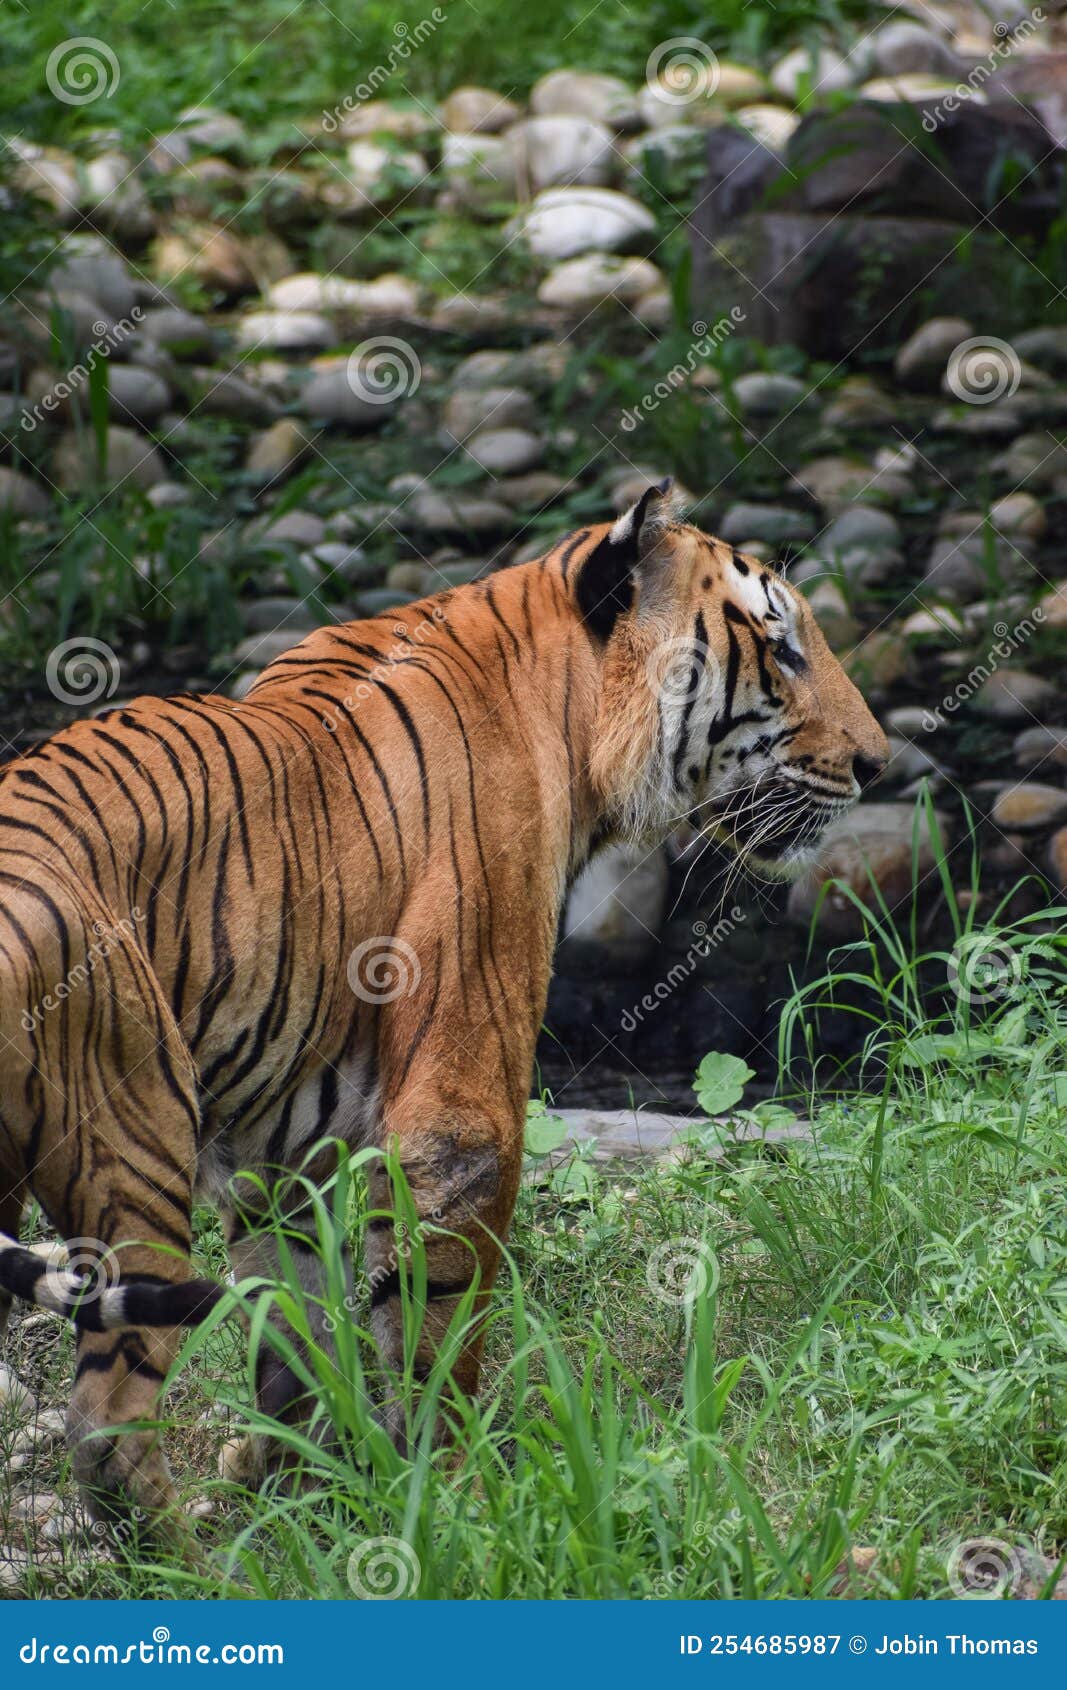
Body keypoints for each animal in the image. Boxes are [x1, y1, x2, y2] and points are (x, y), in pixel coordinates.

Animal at [0, 480, 887, 1542]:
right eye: (780, 645)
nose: (880, 763)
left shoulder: (280, 1154)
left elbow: (295, 1324)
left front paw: (297, 1479)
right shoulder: (462, 1107)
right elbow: (434, 1322)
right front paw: (457, 1488)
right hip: (133, 1149)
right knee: (105, 1425)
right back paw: (193, 1560)